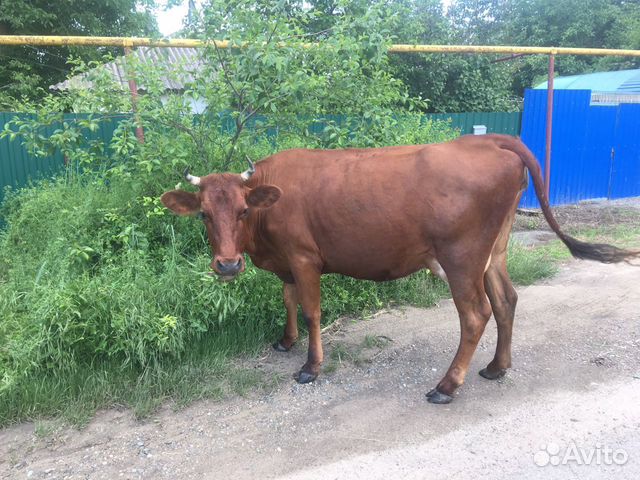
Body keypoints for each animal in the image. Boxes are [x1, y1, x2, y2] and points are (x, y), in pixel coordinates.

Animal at [161, 134, 639, 404]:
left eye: (243, 210)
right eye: (204, 214)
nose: (227, 263)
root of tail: (489, 140)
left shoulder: (304, 257)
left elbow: (312, 310)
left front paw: (311, 366)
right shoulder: (285, 264)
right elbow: (288, 298)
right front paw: (286, 341)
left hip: (461, 257)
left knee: (475, 314)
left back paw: (447, 386)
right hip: (494, 251)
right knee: (506, 300)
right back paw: (496, 367)